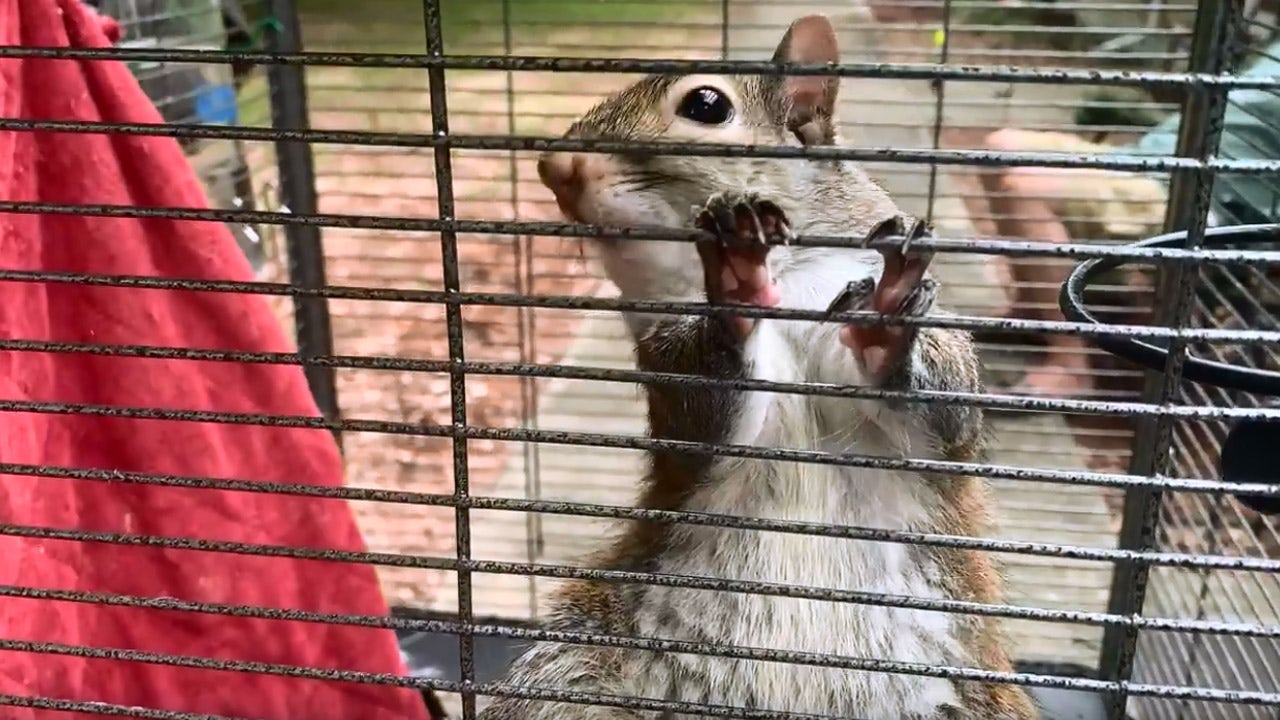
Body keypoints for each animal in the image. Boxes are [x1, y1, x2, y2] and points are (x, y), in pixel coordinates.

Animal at [478, 14, 1039, 720]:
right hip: (568, 676)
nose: (554, 166)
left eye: (706, 105)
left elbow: (951, 418)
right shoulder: (665, 358)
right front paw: (735, 282)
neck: (790, 286)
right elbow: (699, 415)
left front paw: (886, 319)